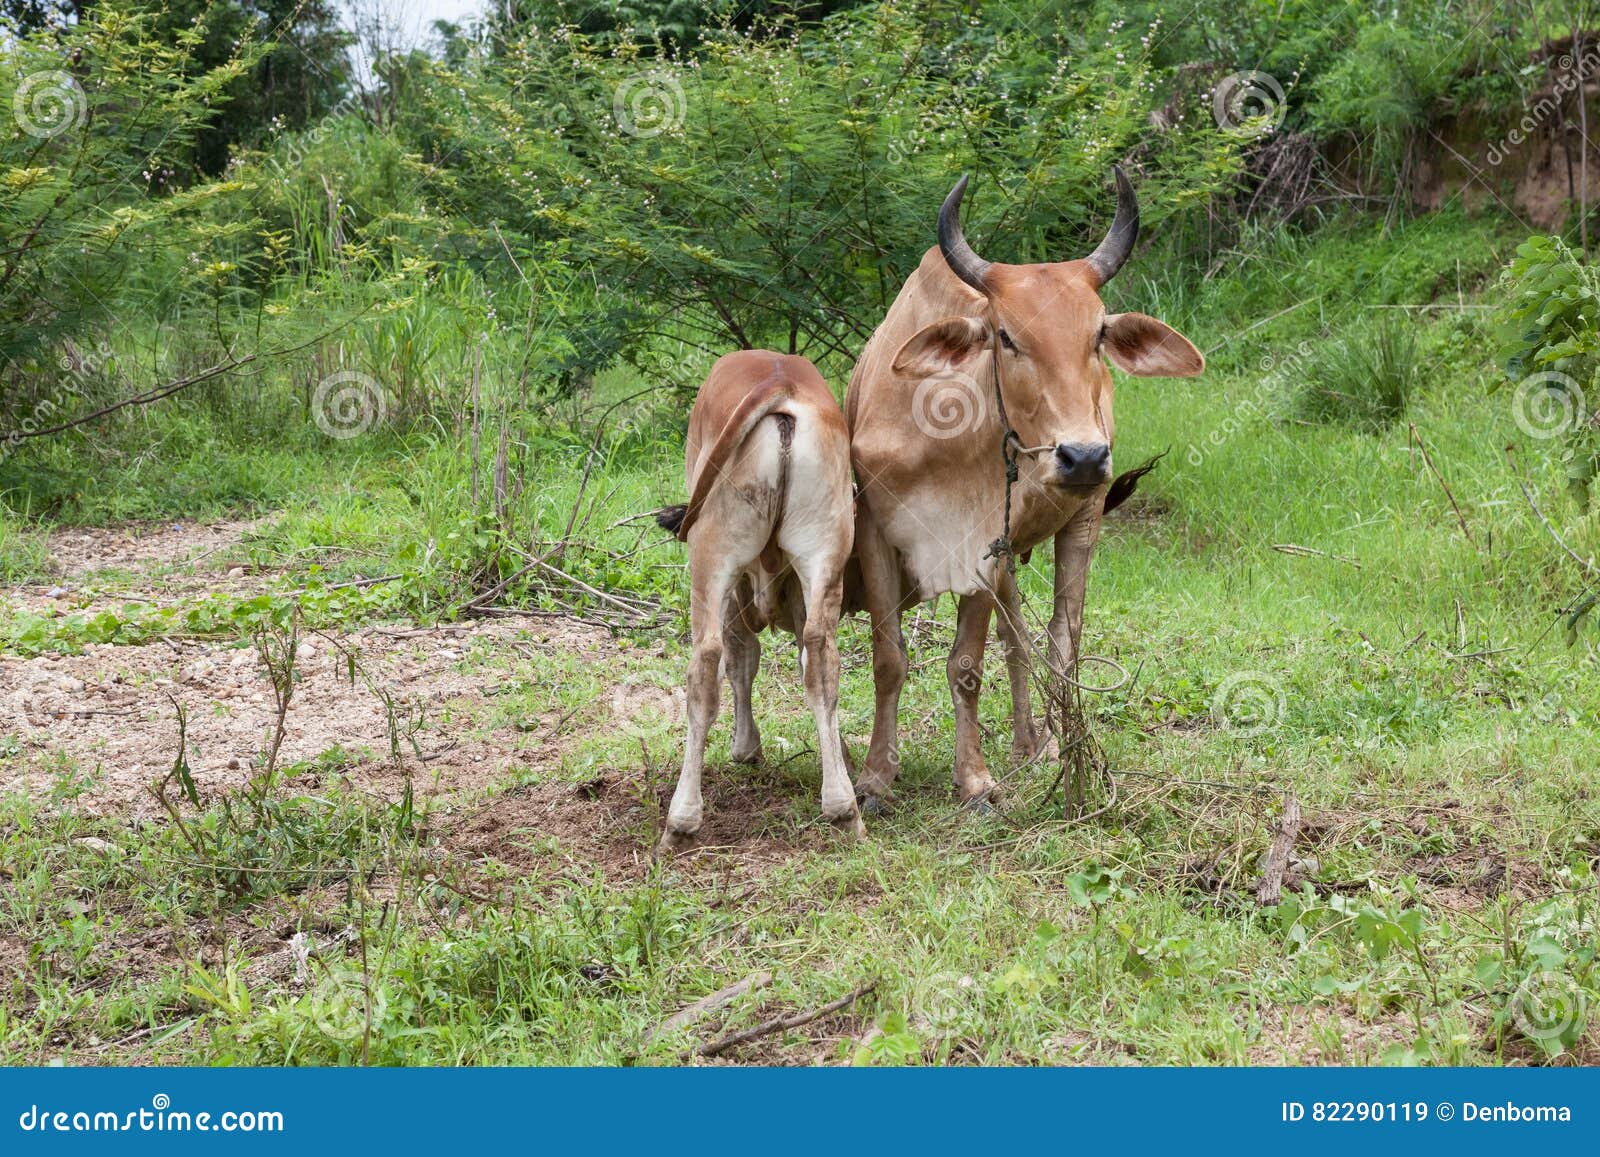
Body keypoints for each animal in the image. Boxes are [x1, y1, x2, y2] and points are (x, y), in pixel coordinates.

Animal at [655, 350, 863, 853]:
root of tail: (781, 383)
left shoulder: (732, 591)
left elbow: (741, 660)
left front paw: (745, 746)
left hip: (713, 556)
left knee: (706, 662)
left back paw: (681, 819)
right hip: (824, 552)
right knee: (821, 657)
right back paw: (843, 806)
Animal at [844, 168, 1204, 811]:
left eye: (1097, 335)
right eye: (1007, 337)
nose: (1083, 456)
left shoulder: (983, 548)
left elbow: (967, 665)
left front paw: (974, 779)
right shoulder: (878, 535)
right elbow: (890, 659)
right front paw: (876, 777)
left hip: (1079, 522)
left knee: (1057, 642)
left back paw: (1049, 745)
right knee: (1018, 640)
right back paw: (1028, 741)